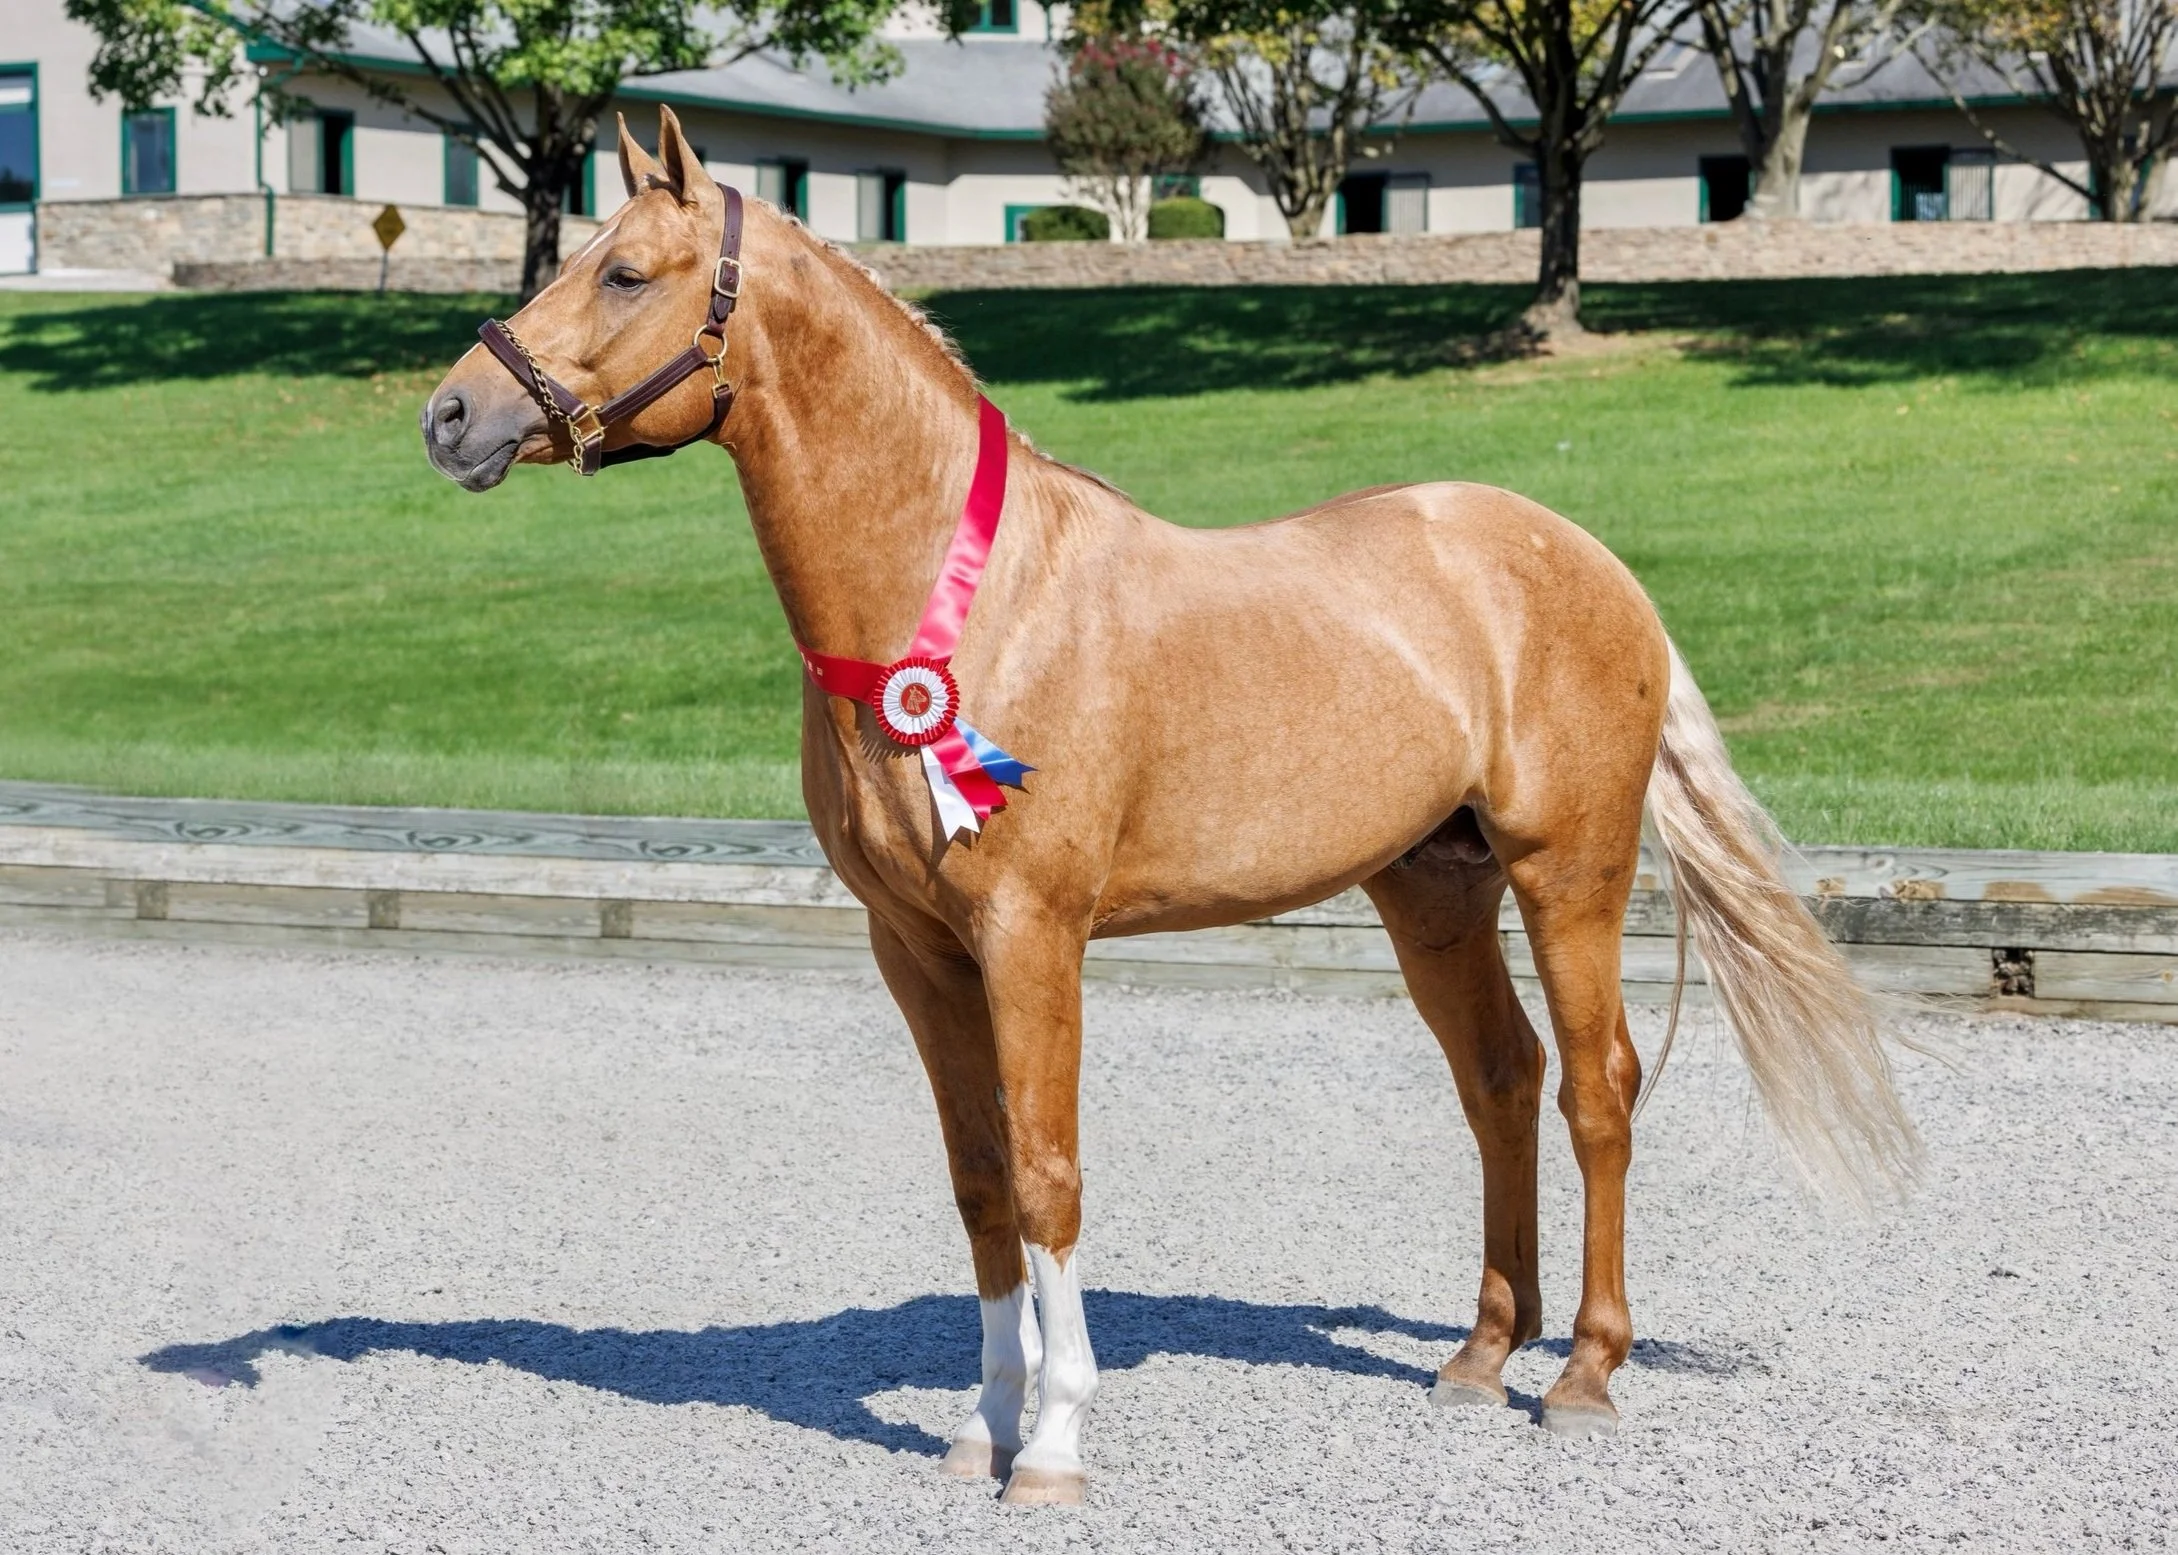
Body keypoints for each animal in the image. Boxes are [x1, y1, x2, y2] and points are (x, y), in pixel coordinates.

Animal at [421, 107, 1918, 1506]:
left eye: (625, 272)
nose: (450, 418)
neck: (959, 596)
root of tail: (1584, 558)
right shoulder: (916, 949)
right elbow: (978, 1178)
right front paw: (980, 1426)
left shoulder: (1032, 934)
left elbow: (1047, 1173)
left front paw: (1053, 1446)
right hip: (1433, 887)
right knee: (1501, 1079)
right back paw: (1481, 1352)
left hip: (1569, 872)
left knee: (1597, 1089)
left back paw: (1587, 1372)